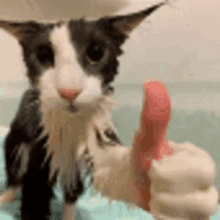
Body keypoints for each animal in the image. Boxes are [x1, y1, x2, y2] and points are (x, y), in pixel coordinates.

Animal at [0, 2, 166, 220]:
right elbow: (35, 191)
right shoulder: (39, 145)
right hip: (18, 136)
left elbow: (83, 184)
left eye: (96, 52)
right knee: (15, 168)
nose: (69, 91)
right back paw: (6, 195)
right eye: (43, 55)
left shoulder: (97, 135)